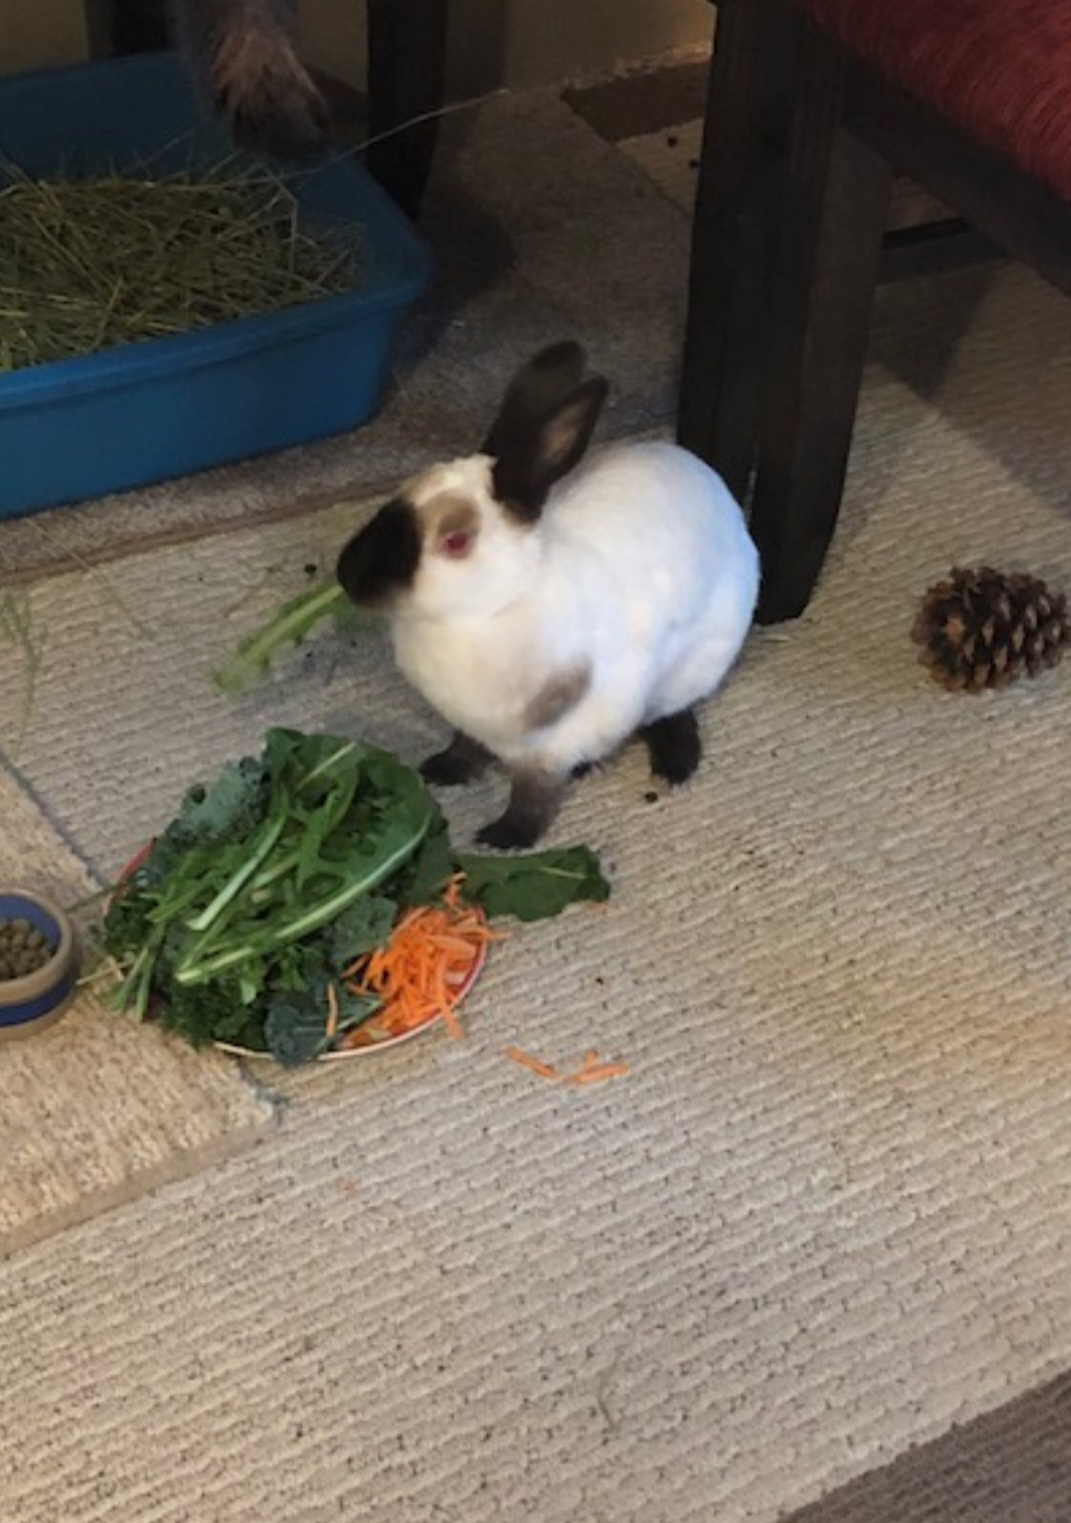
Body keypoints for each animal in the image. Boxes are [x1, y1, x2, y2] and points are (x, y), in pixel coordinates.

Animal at [336, 341, 760, 849]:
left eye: (455, 542)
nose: (346, 575)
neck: (483, 613)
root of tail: (712, 481)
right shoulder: (470, 725)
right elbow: (466, 748)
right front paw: (442, 769)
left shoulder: (550, 750)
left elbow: (534, 798)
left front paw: (503, 837)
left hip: (696, 663)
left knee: (673, 713)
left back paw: (672, 766)